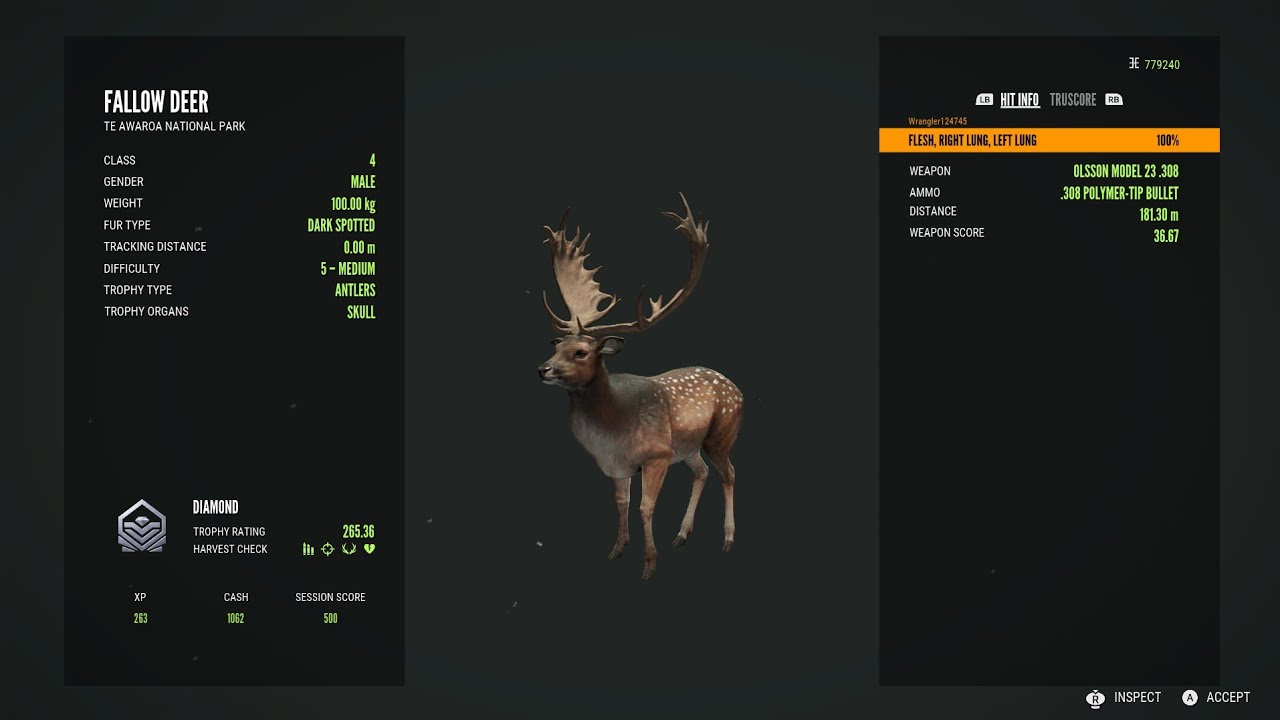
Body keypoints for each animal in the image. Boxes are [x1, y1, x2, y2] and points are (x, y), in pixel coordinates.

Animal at [536, 193, 743, 581]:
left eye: (581, 351)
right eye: (556, 346)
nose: (543, 369)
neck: (613, 430)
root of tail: (736, 388)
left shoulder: (657, 455)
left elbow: (646, 507)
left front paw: (649, 564)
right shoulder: (616, 466)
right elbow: (621, 503)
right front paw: (617, 550)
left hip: (722, 433)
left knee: (729, 473)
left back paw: (727, 539)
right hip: (688, 447)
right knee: (702, 472)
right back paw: (682, 534)